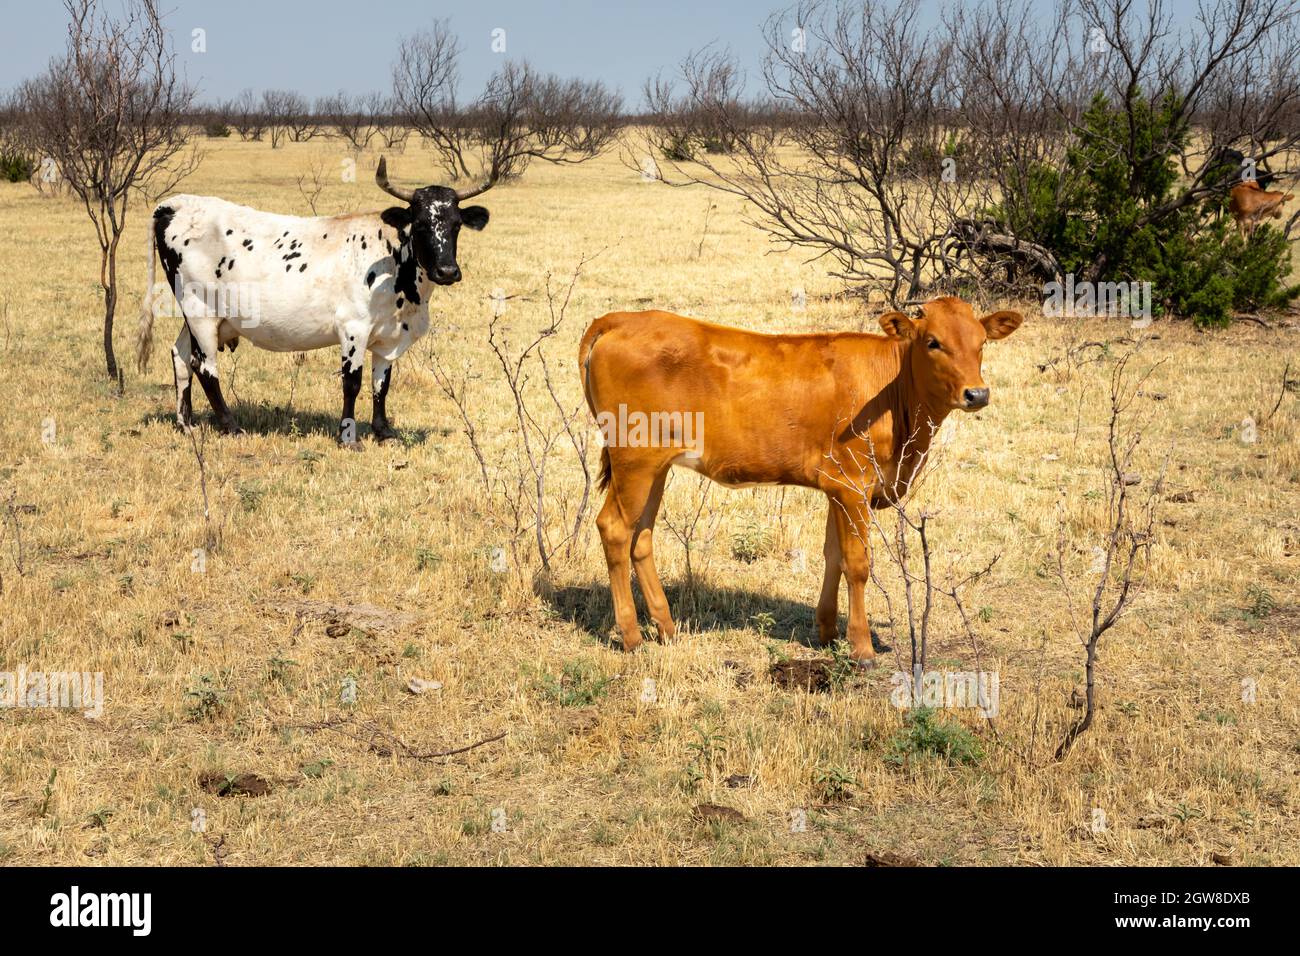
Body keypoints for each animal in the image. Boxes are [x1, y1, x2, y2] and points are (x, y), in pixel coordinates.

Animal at [136, 158, 490, 445]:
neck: (391, 259)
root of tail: (174, 204)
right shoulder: (353, 328)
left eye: (456, 225)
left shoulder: (389, 334)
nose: (447, 271)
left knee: (181, 356)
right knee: (205, 366)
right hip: (201, 311)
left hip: (199, 317)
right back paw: (231, 426)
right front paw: (348, 437)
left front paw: (383, 431)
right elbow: (353, 382)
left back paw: (186, 423)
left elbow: (382, 383)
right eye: (420, 224)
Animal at [578, 296, 1023, 665]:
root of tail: (619, 319)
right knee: (615, 529)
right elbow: (857, 563)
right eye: (933, 342)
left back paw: (667, 629)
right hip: (635, 461)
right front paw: (861, 646)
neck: (893, 390)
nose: (977, 394)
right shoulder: (853, 485)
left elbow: (833, 555)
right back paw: (632, 637)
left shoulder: (836, 488)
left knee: (642, 536)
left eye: (982, 342)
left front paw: (827, 632)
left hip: (655, 467)